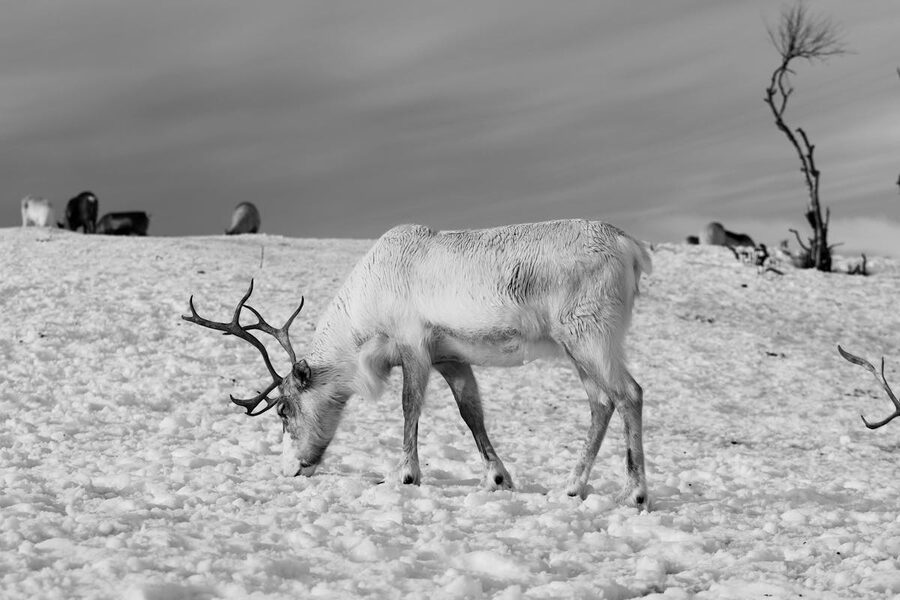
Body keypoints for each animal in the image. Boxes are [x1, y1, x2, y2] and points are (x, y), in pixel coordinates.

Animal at [183, 219, 652, 509]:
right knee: (600, 403)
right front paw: (497, 478)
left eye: (284, 409)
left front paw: (405, 475)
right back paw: (572, 487)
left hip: (591, 335)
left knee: (629, 393)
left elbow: (410, 406)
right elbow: (471, 413)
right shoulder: (451, 357)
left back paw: (635, 494)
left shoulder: (413, 346)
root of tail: (631, 248)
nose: (290, 469)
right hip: (575, 346)